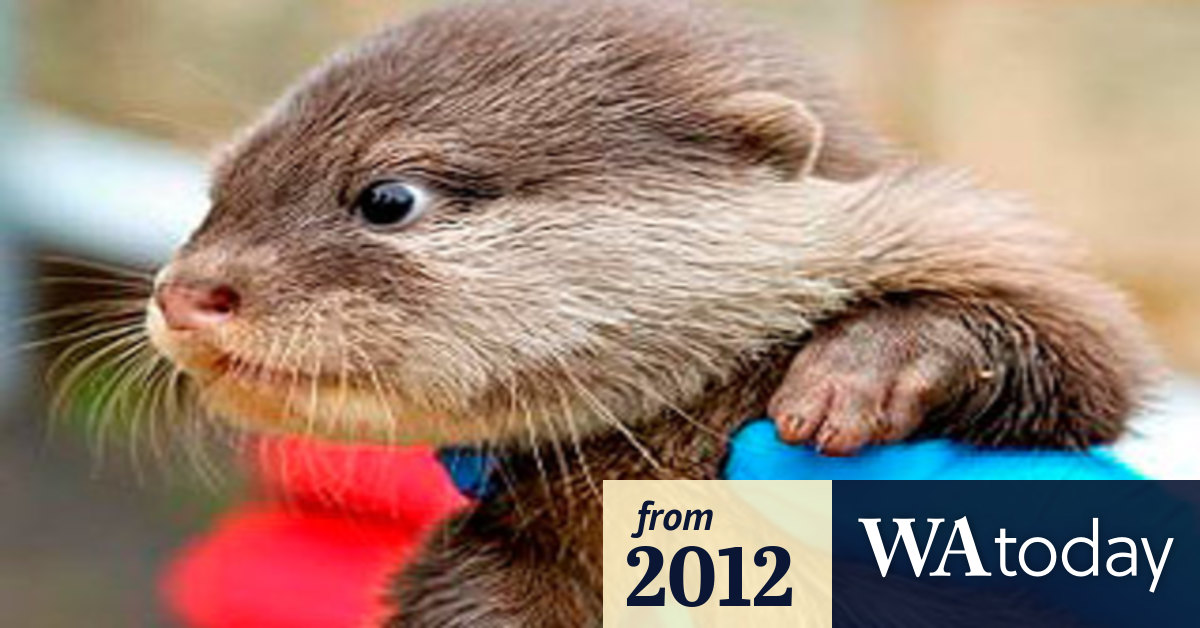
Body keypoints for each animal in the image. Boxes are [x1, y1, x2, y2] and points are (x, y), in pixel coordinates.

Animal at [140, 0, 1156, 624]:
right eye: (218, 186)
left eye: (389, 198)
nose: (187, 293)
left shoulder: (991, 256)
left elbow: (1078, 353)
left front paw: (856, 378)